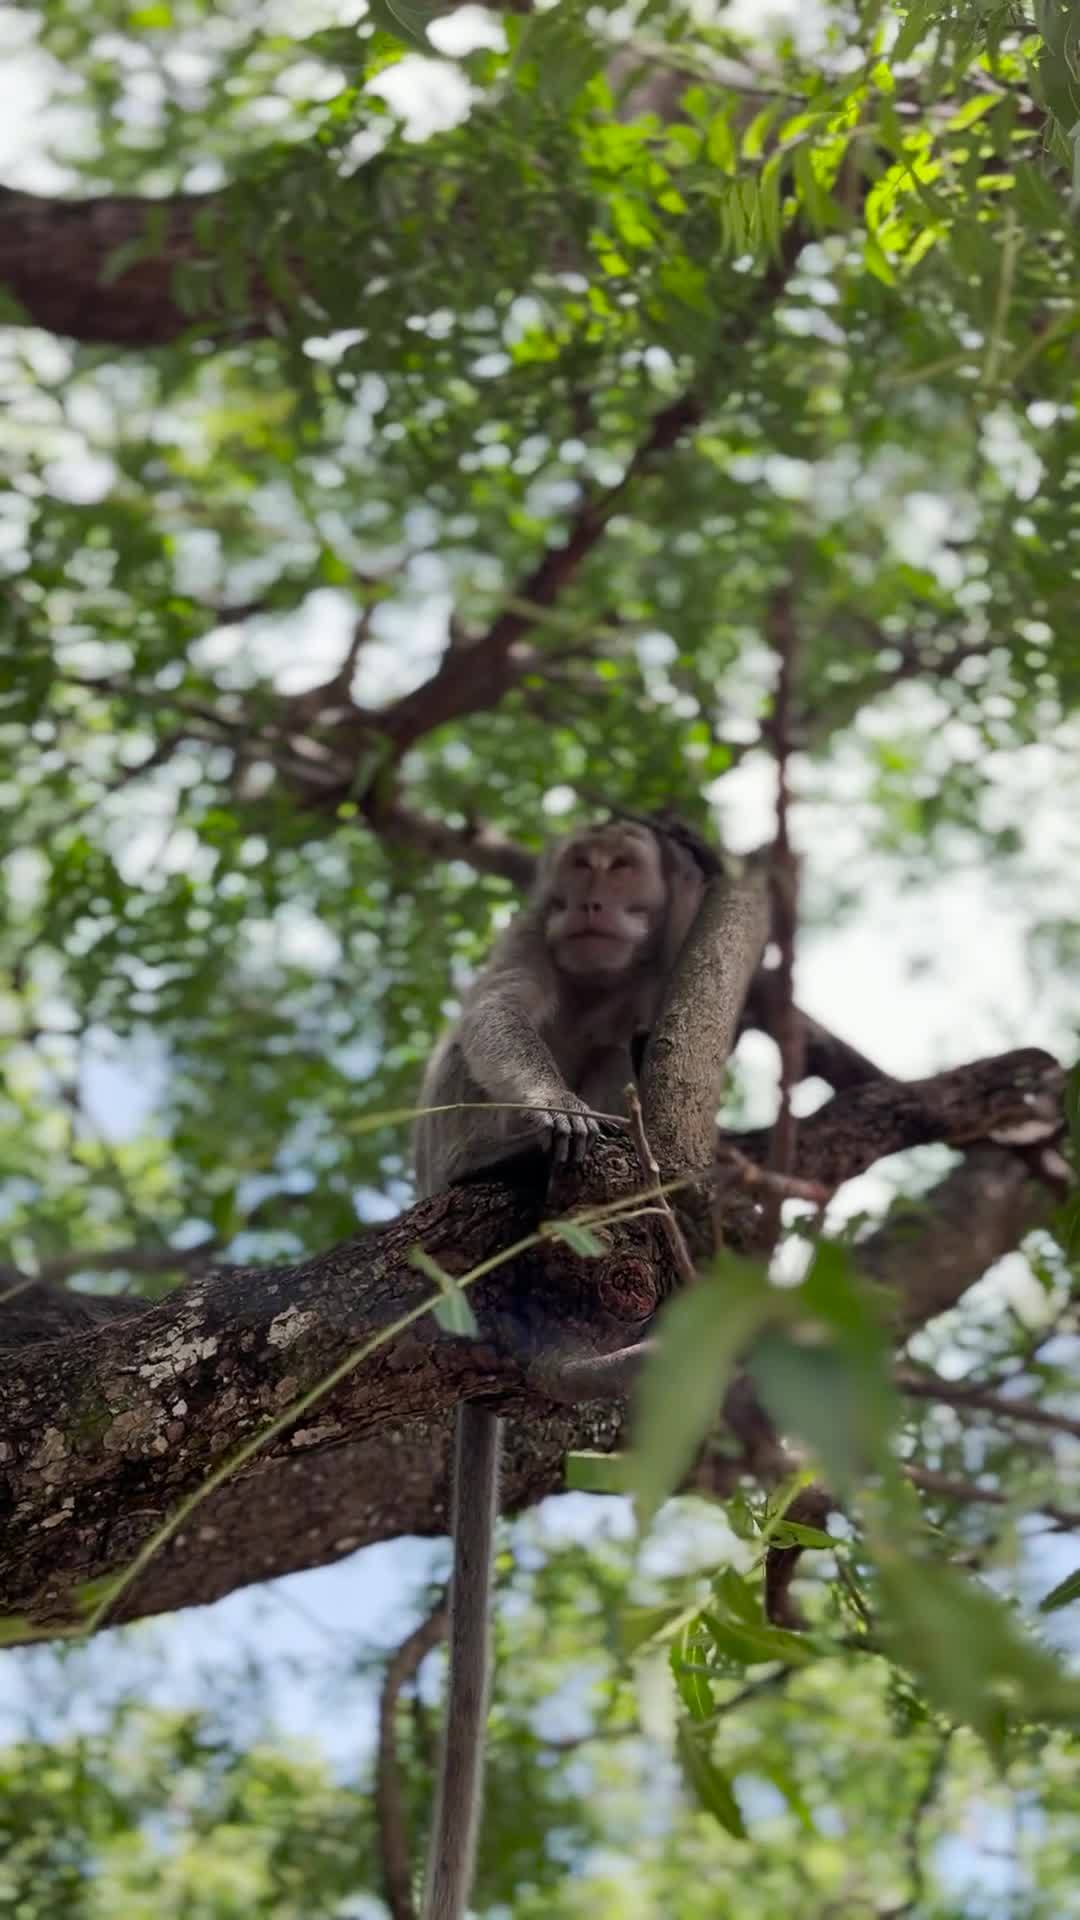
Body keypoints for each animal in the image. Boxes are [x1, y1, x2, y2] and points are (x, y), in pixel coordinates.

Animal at [414, 818, 711, 1920]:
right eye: (580, 865)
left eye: (620, 868)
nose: (588, 896)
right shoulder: (527, 943)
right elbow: (495, 1020)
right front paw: (552, 1110)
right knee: (466, 1061)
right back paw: (510, 1156)